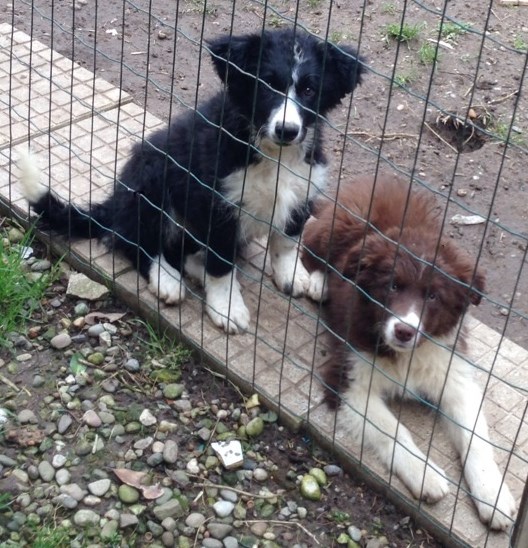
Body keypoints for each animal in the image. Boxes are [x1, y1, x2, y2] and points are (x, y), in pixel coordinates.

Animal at [19, 30, 364, 332]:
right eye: (266, 85)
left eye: (309, 91)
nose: (287, 130)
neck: (272, 154)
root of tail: (115, 203)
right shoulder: (218, 205)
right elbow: (222, 264)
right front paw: (227, 308)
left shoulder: (302, 188)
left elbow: (287, 241)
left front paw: (294, 274)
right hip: (152, 178)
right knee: (136, 243)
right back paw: (168, 279)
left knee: (184, 252)